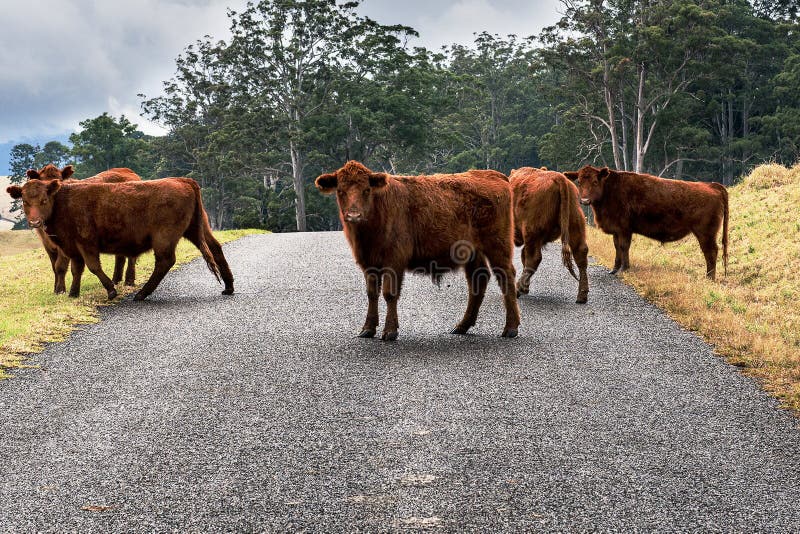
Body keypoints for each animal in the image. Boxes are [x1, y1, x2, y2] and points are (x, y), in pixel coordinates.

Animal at [6, 177, 234, 300]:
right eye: (25, 201)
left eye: (44, 200)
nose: (34, 221)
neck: (63, 202)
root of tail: (183, 180)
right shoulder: (72, 246)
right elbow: (77, 269)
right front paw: (73, 293)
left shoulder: (86, 242)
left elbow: (93, 267)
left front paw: (111, 290)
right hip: (197, 229)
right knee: (215, 248)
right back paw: (229, 286)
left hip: (164, 237)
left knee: (165, 261)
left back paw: (142, 294)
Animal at [22, 164, 141, 293]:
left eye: (60, 181)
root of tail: (125, 170)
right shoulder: (47, 244)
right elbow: (54, 267)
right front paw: (56, 289)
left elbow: (60, 266)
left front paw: (61, 289)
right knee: (120, 256)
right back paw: (116, 280)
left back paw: (129, 280)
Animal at [315, 160, 520, 341]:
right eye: (340, 191)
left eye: (366, 190)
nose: (354, 215)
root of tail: (492, 174)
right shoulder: (368, 263)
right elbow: (372, 293)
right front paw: (368, 329)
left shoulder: (394, 260)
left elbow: (389, 293)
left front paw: (390, 331)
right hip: (472, 252)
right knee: (479, 279)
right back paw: (462, 326)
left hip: (498, 246)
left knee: (505, 276)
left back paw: (511, 328)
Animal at [510, 167, 589, 303]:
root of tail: (559, 178)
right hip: (574, 225)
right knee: (581, 254)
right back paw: (582, 296)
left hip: (532, 232)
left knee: (533, 258)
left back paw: (518, 289)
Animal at [564, 166, 729, 279]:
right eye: (579, 182)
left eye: (595, 181)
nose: (585, 200)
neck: (610, 190)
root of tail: (711, 185)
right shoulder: (616, 230)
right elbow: (617, 247)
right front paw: (614, 269)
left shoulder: (624, 230)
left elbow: (624, 247)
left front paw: (624, 269)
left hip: (705, 234)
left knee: (711, 252)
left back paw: (709, 278)